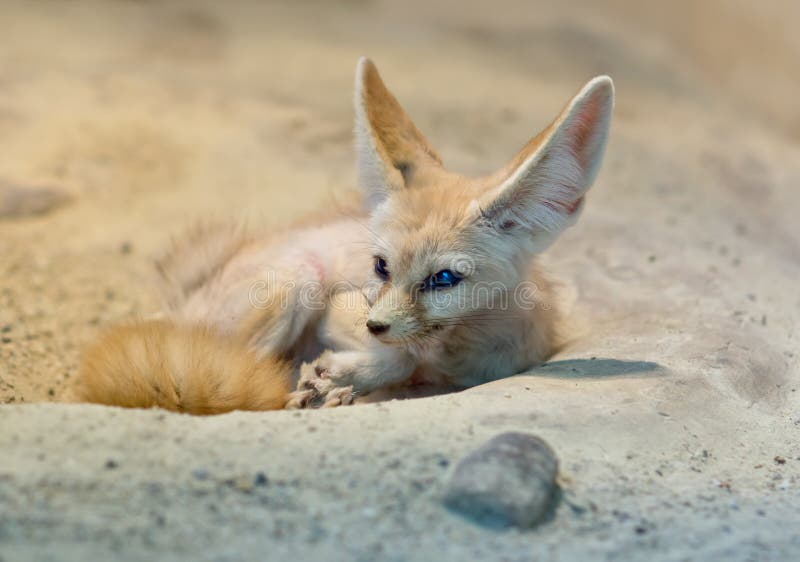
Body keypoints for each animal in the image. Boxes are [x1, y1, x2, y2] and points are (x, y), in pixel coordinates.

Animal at [68, 58, 614, 414]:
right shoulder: (341, 310)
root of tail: (188, 295)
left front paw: (352, 377)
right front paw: (346, 372)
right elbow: (398, 357)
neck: (453, 347)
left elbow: (407, 364)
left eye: (443, 279)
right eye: (380, 266)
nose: (375, 325)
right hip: (296, 281)